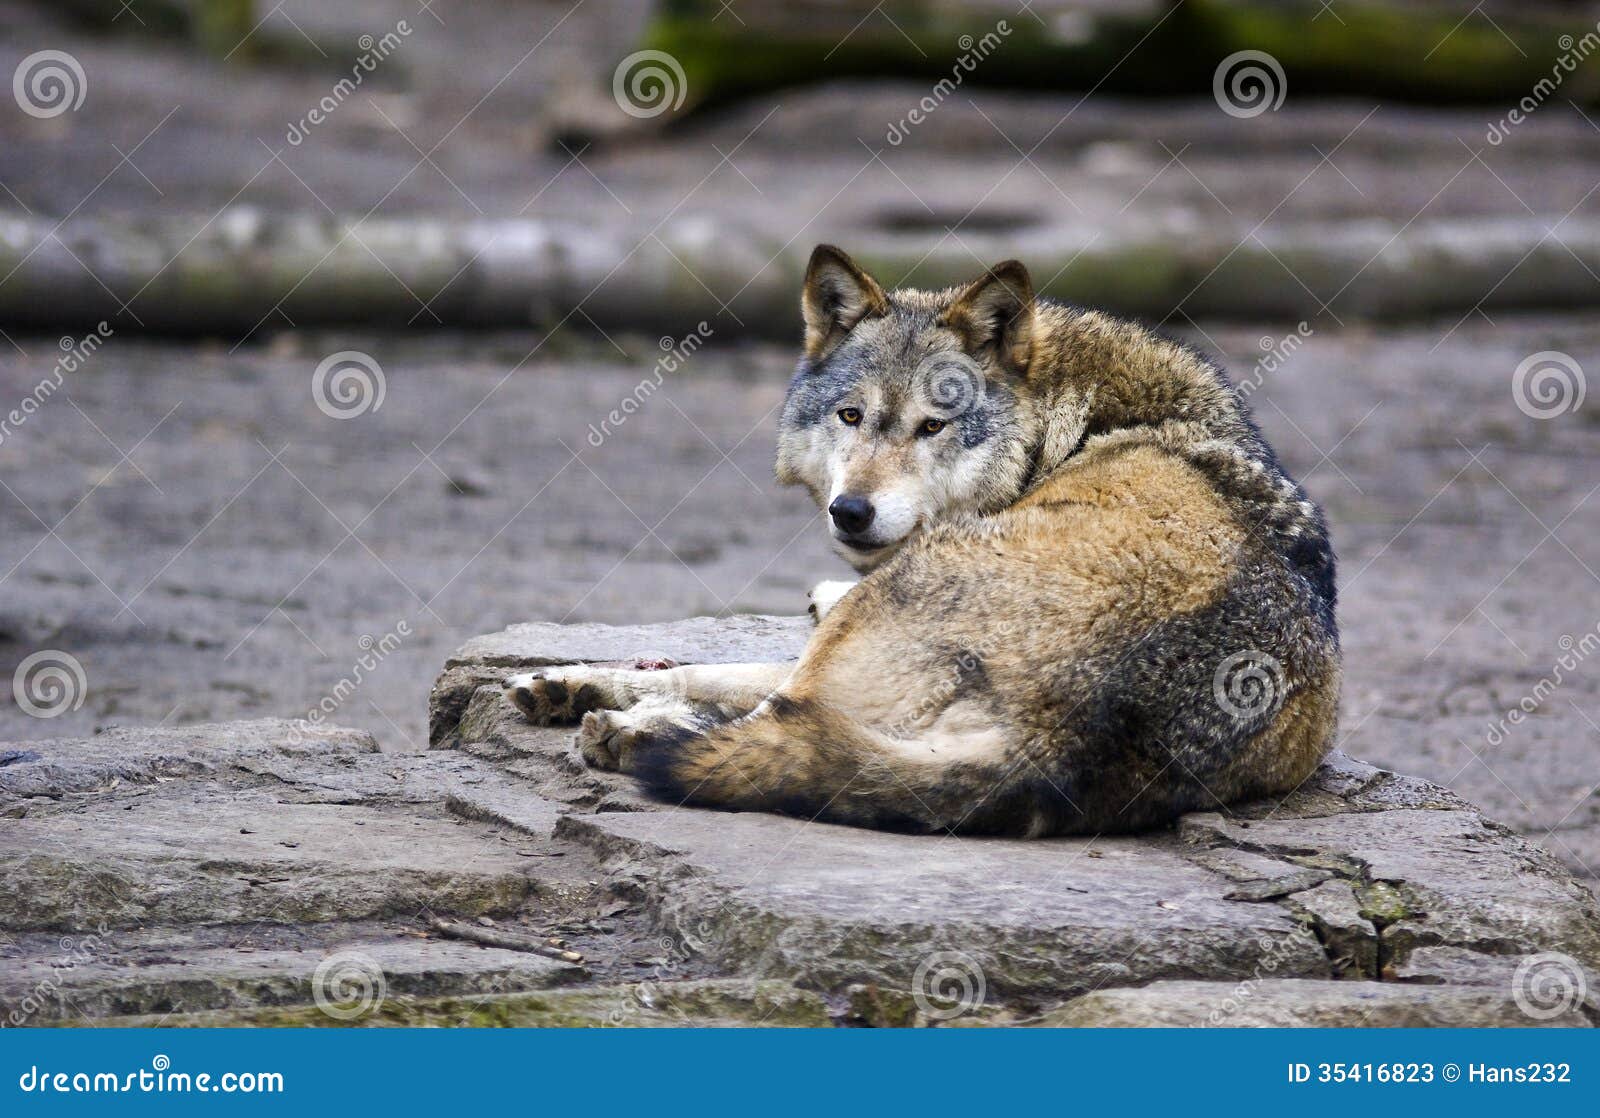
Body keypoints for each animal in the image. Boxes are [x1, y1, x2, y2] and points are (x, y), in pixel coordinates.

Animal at [505, 245, 1340, 836]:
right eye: (850, 416)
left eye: (932, 426)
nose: (850, 512)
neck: (1073, 427)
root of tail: (1056, 743)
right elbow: (706, 668)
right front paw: (568, 679)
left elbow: (720, 674)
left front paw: (606, 696)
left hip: (872, 623)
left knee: (775, 713)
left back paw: (631, 735)